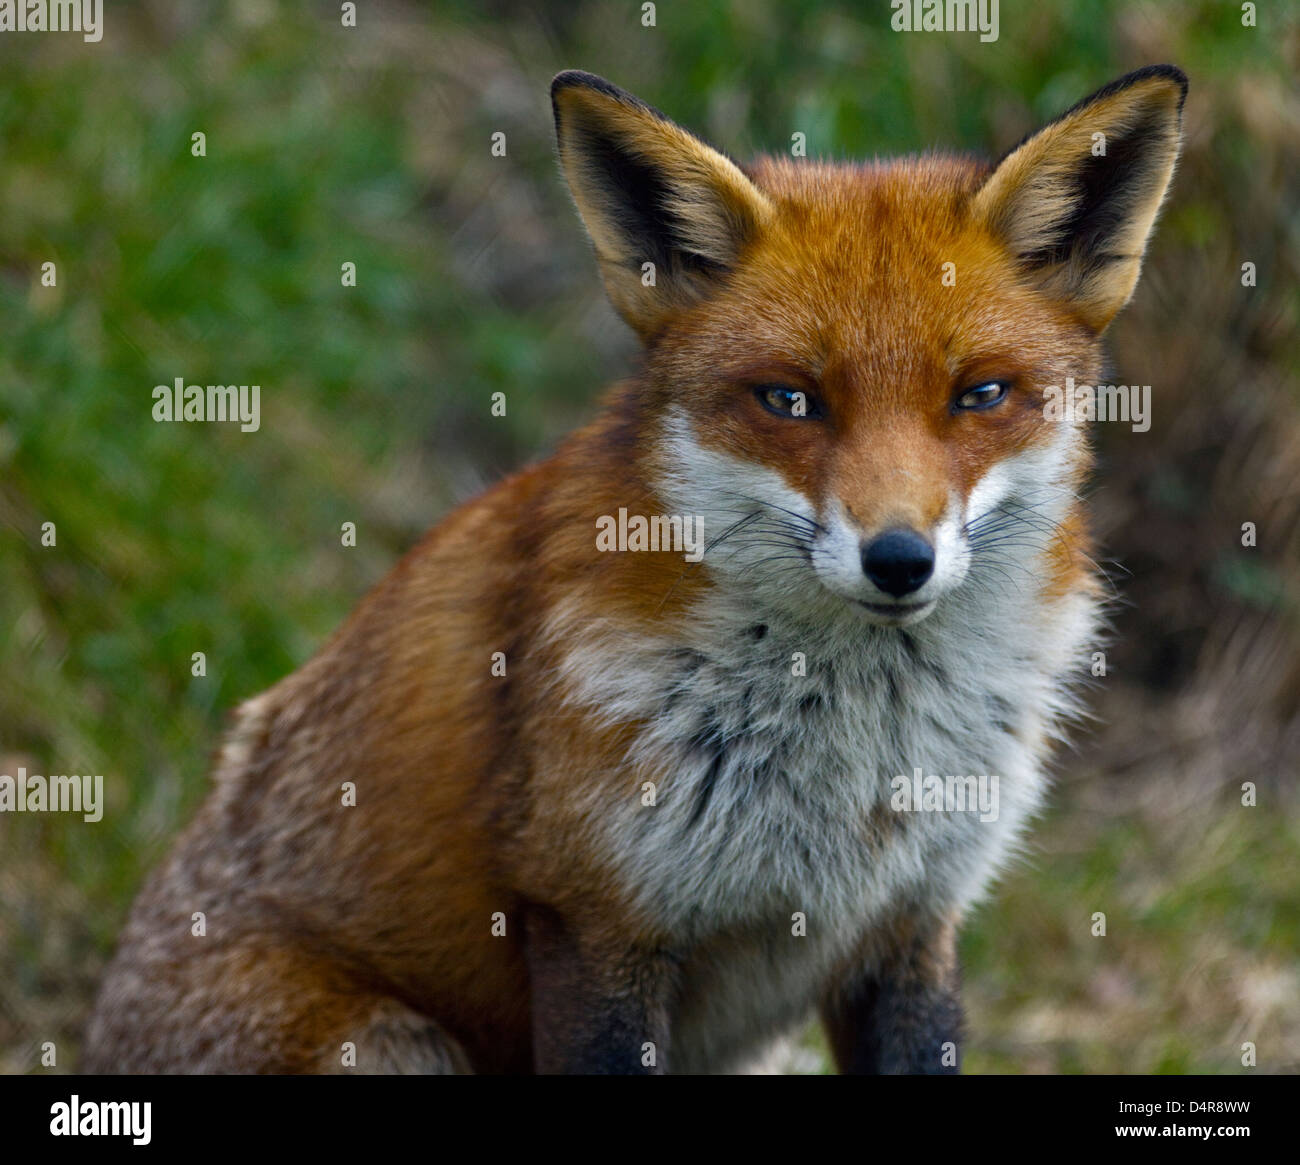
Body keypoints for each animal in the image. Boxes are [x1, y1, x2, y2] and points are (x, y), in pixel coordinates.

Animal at [84, 65, 1186, 1074]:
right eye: (789, 400)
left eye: (980, 395)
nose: (899, 560)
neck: (858, 760)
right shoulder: (594, 920)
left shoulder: (912, 926)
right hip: (387, 1042)